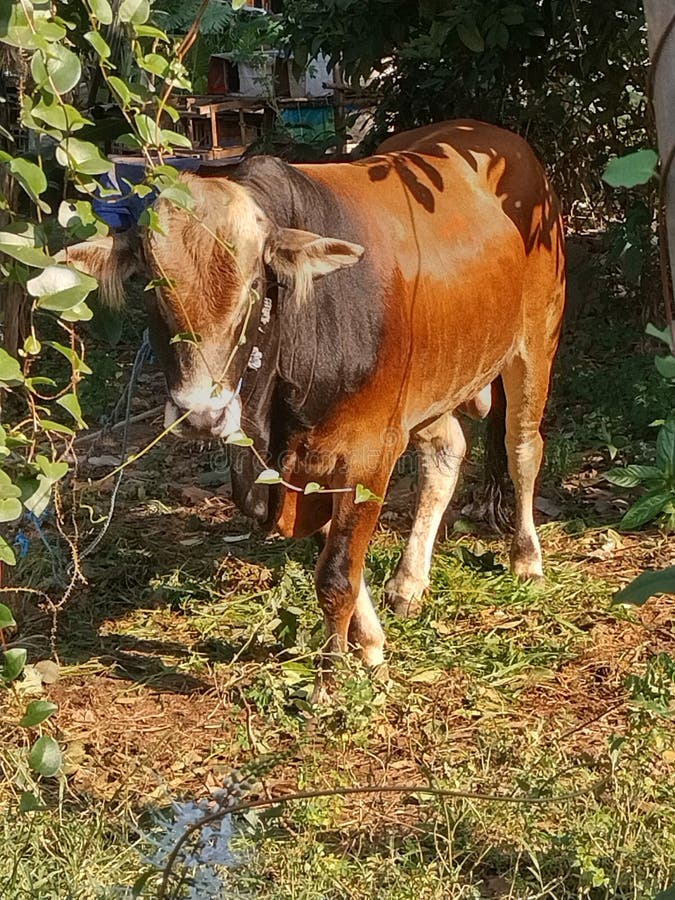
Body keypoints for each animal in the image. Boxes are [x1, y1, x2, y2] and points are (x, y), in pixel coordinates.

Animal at [64, 120, 565, 693]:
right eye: (152, 287)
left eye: (254, 286)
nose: (202, 415)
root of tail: (494, 137)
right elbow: (337, 557)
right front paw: (368, 642)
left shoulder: (369, 452)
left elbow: (336, 573)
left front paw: (330, 678)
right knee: (446, 454)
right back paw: (409, 581)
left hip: (535, 342)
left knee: (522, 449)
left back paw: (526, 558)